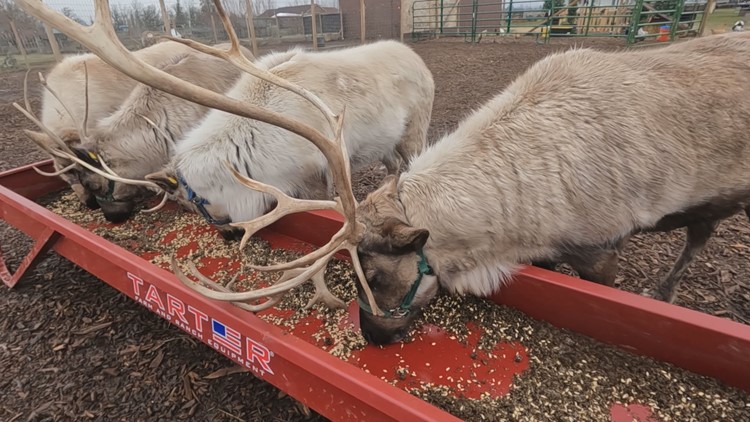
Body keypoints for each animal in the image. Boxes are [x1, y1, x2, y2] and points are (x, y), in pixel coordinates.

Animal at [142, 40, 434, 240]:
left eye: (188, 202)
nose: (228, 237)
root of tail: (417, 58)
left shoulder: (317, 176)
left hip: (414, 132)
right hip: (385, 143)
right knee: (392, 165)